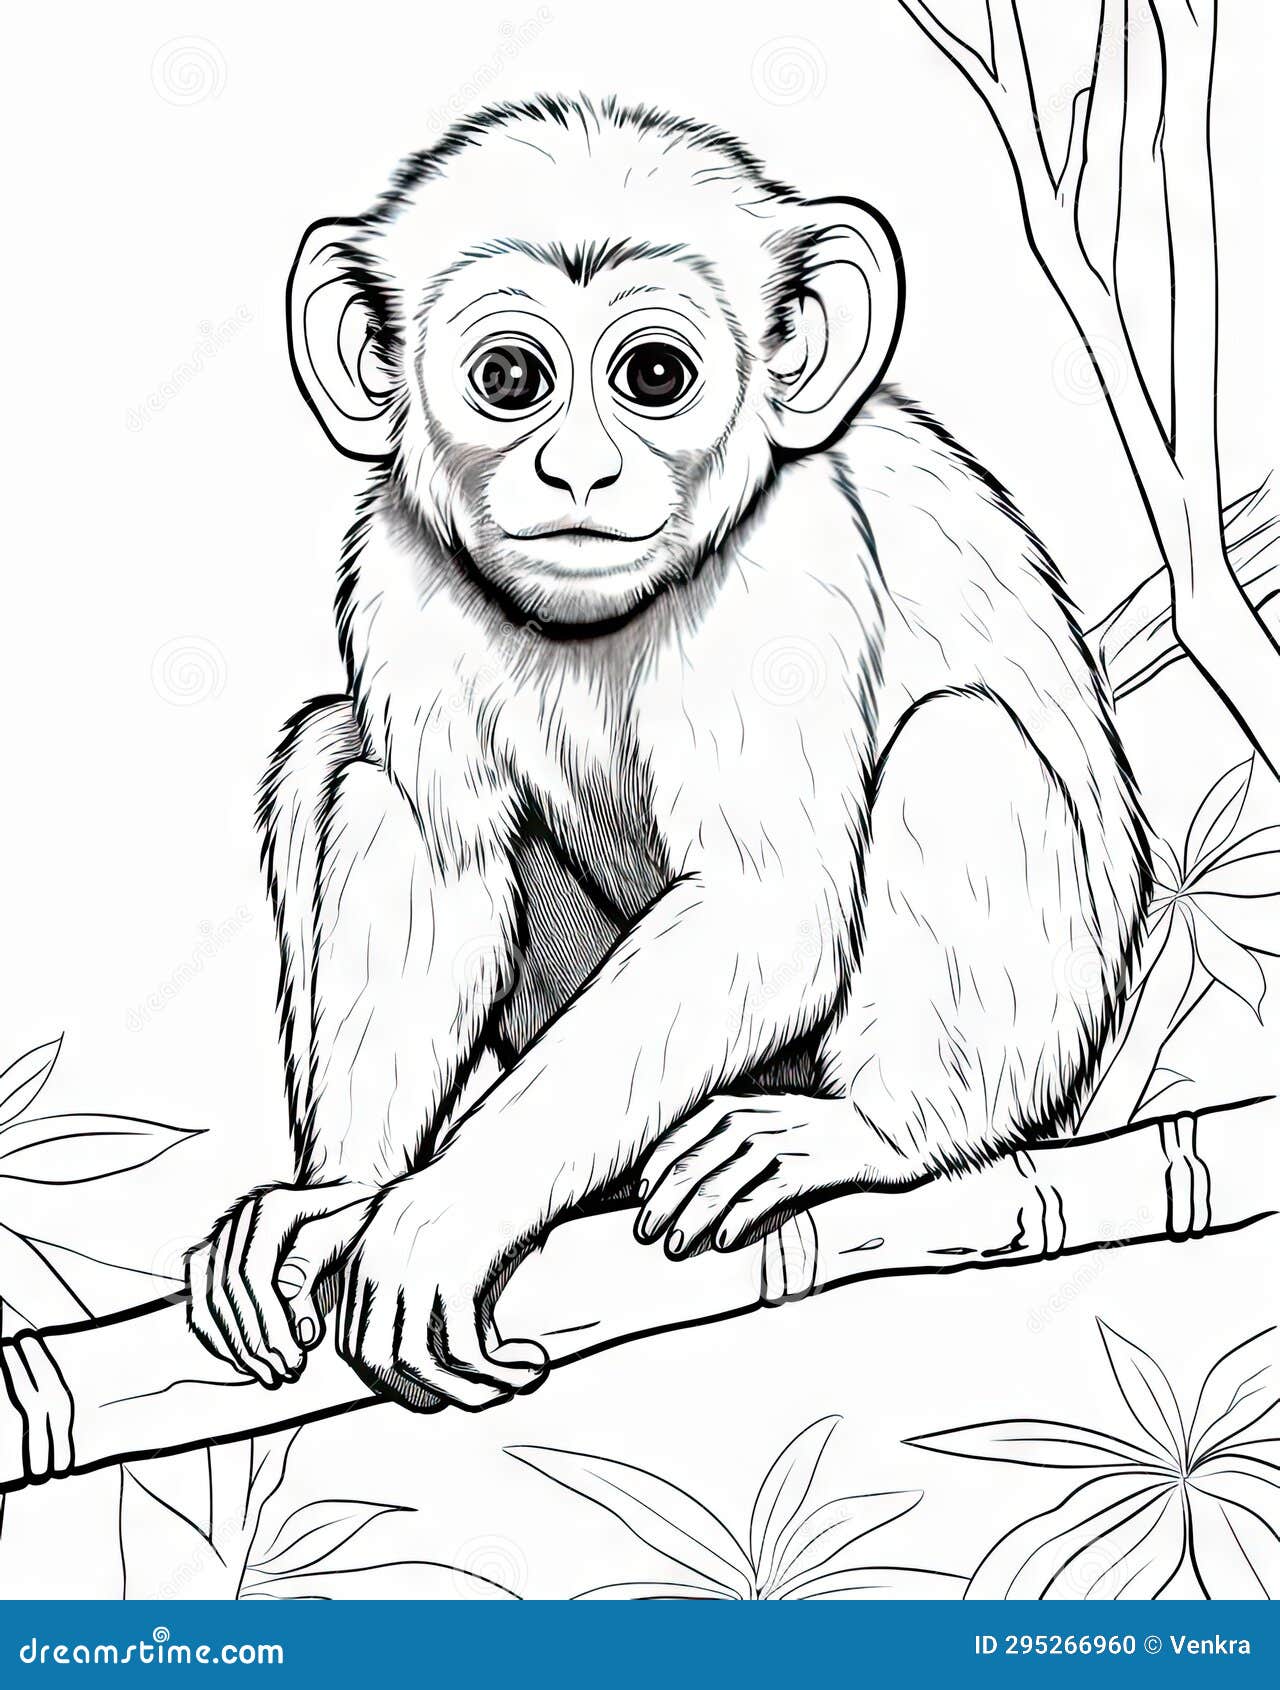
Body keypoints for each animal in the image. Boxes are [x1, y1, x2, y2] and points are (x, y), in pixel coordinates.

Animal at [185, 95, 1149, 1410]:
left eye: (653, 375)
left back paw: (880, 1133)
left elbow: (765, 903)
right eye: (509, 378)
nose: (580, 468)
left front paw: (447, 1209)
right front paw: (343, 1197)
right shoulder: (395, 564)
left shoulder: (784, 564)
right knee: (328, 750)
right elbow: (437, 859)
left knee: (958, 744)